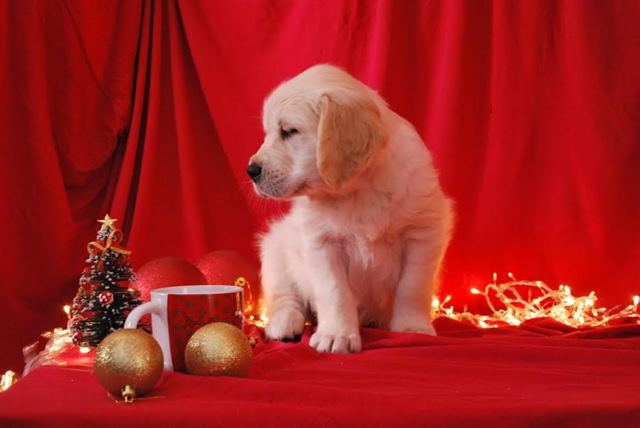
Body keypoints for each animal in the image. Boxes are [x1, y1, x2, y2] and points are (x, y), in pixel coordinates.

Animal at [248, 62, 452, 352]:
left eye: (289, 131)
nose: (251, 170)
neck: (356, 189)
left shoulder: (423, 232)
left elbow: (412, 286)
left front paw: (412, 327)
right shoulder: (321, 242)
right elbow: (334, 291)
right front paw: (337, 335)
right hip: (275, 247)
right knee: (284, 295)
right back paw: (284, 322)